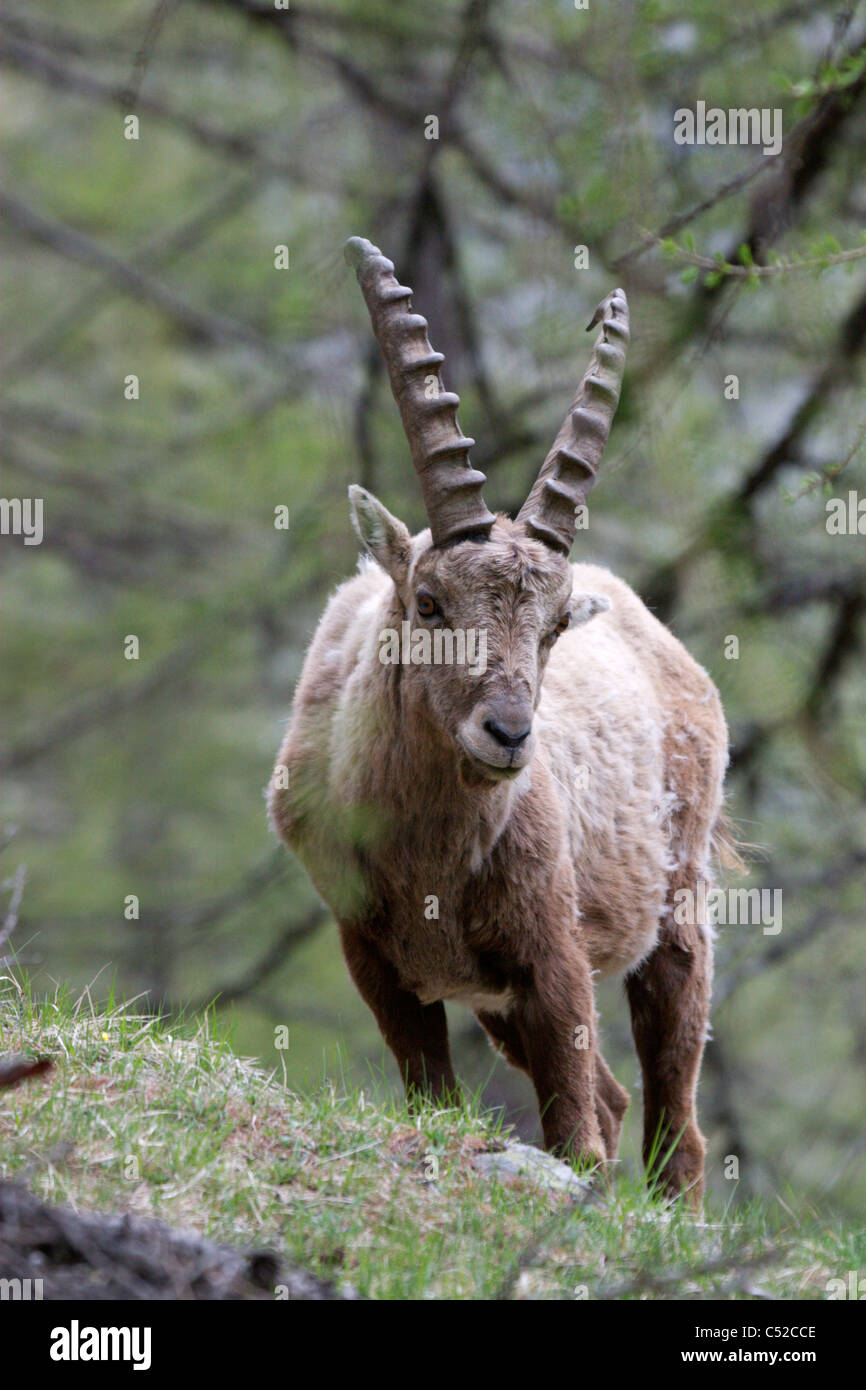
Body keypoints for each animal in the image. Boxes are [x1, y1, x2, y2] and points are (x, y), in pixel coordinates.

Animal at [269, 236, 733, 1203]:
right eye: (429, 602)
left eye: (553, 625)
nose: (512, 735)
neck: (426, 852)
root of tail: (669, 649)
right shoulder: (375, 953)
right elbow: (434, 1096)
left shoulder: (550, 950)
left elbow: (577, 1138)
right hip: (499, 1004)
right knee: (617, 1098)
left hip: (675, 910)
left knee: (672, 1120)